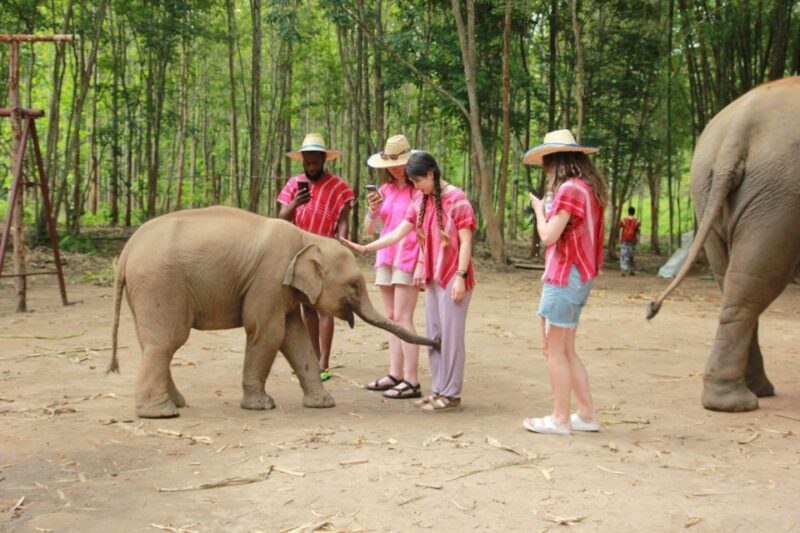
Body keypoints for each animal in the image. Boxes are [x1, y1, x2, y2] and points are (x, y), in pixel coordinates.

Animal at [108, 206, 439, 418]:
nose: (438, 341)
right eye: (355, 285)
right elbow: (268, 332)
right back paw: (161, 413)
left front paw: (323, 403)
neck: (307, 238)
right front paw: (261, 405)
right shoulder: (268, 278)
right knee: (166, 342)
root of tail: (126, 252)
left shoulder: (283, 288)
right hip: (160, 285)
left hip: (148, 290)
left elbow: (295, 336)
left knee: (154, 344)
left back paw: (176, 404)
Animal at [648, 77, 800, 412]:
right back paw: (737, 402)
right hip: (779, 195)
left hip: (708, 189)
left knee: (733, 279)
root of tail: (737, 131)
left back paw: (753, 392)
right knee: (755, 279)